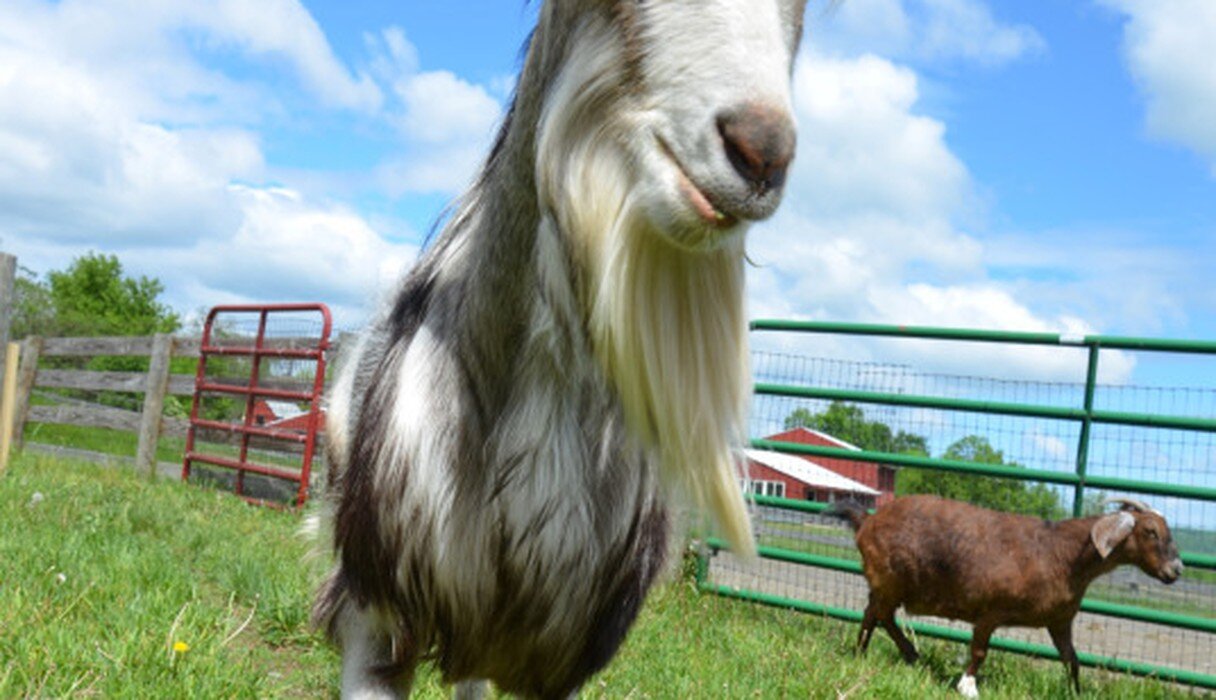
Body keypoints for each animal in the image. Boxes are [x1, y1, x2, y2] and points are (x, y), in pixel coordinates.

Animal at [826, 495, 1183, 697]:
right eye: (1150, 531)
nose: (1176, 570)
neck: (1060, 554)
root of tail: (867, 520)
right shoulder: (990, 611)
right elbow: (979, 651)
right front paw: (967, 686)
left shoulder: (1059, 621)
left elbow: (1072, 660)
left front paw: (1076, 692)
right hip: (887, 581)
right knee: (876, 614)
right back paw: (873, 653)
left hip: (889, 585)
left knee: (878, 614)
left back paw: (899, 654)